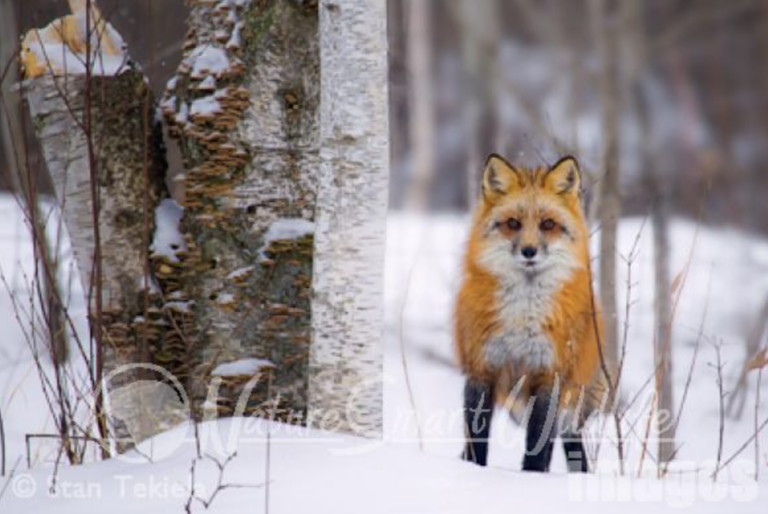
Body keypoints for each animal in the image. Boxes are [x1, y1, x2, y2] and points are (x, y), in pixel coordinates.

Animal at [455, 154, 611, 473]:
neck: (522, 315)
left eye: (548, 224)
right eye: (513, 223)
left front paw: (532, 478)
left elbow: (539, 444)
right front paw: (472, 471)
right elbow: (476, 436)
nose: (529, 251)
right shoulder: (481, 368)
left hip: (571, 402)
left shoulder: (550, 375)